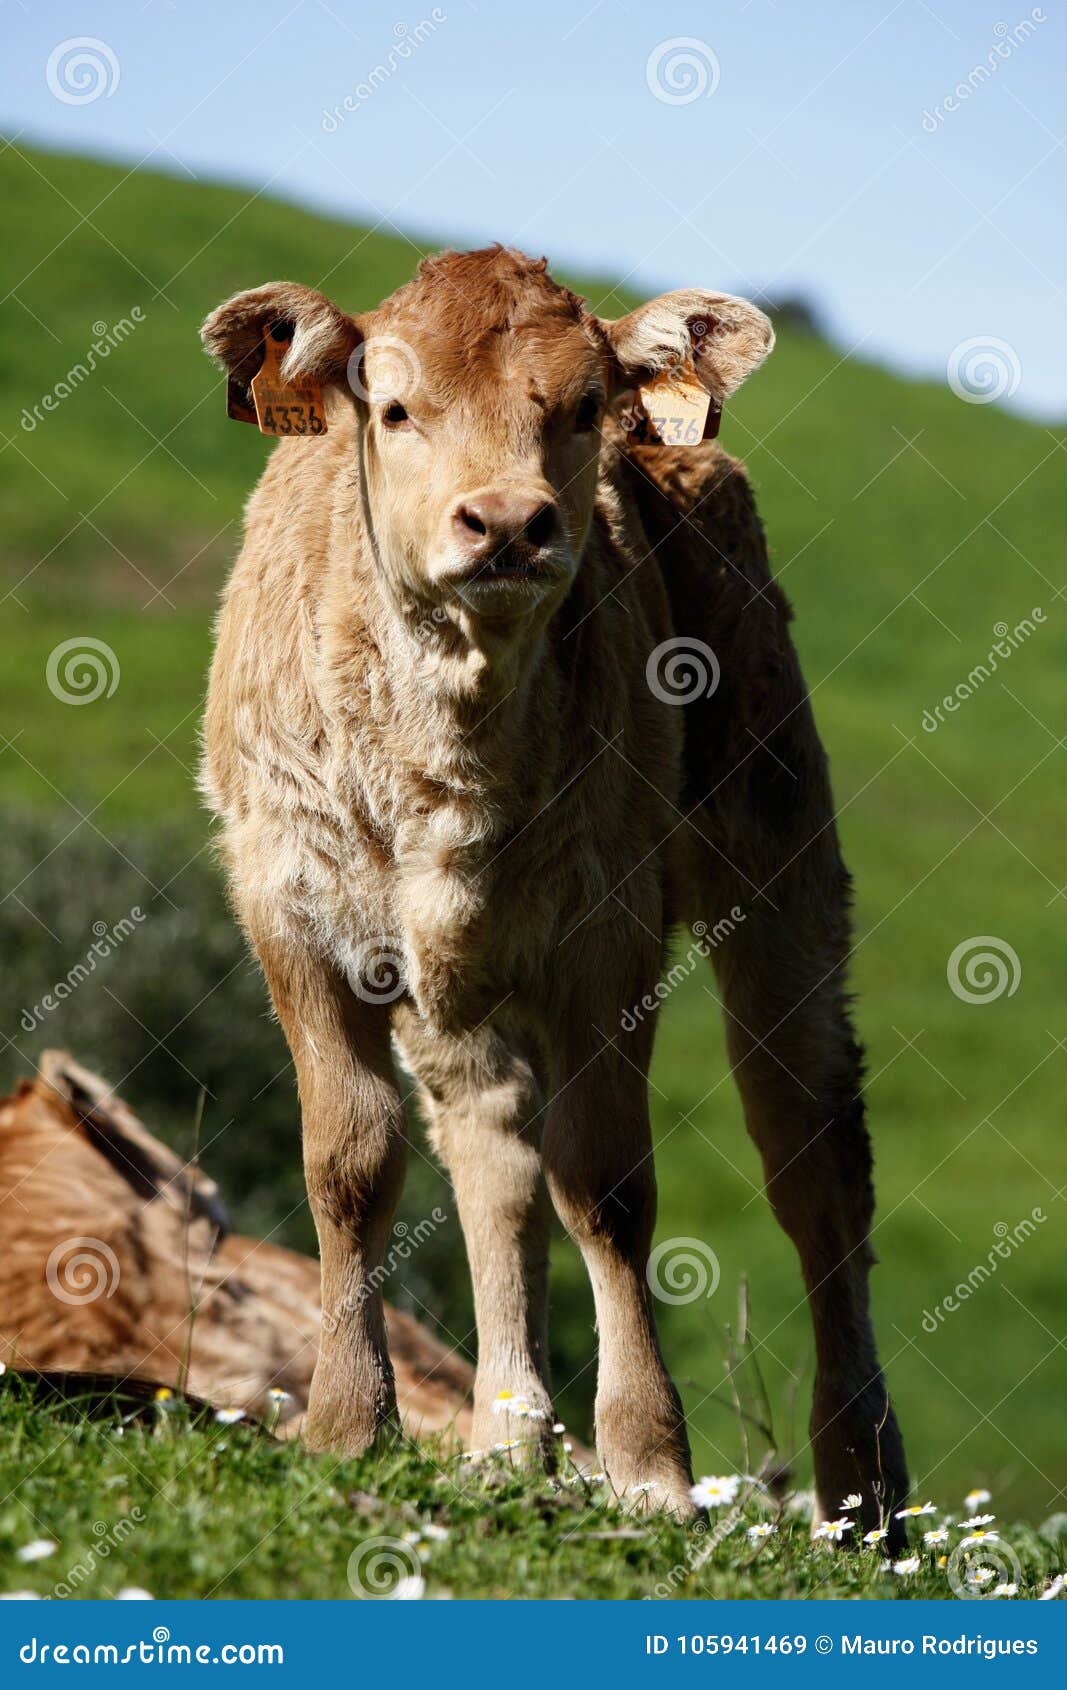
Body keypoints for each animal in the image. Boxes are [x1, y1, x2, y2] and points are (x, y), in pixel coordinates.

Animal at [200, 245, 908, 1537]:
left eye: (581, 408)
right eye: (393, 407)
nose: (508, 521)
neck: (450, 743)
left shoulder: (604, 931)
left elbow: (607, 1183)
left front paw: (646, 1461)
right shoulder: (291, 912)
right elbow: (353, 1161)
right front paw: (347, 1420)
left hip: (780, 865)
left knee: (813, 1157)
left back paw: (862, 1492)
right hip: (451, 989)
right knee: (493, 1156)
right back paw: (507, 1439)